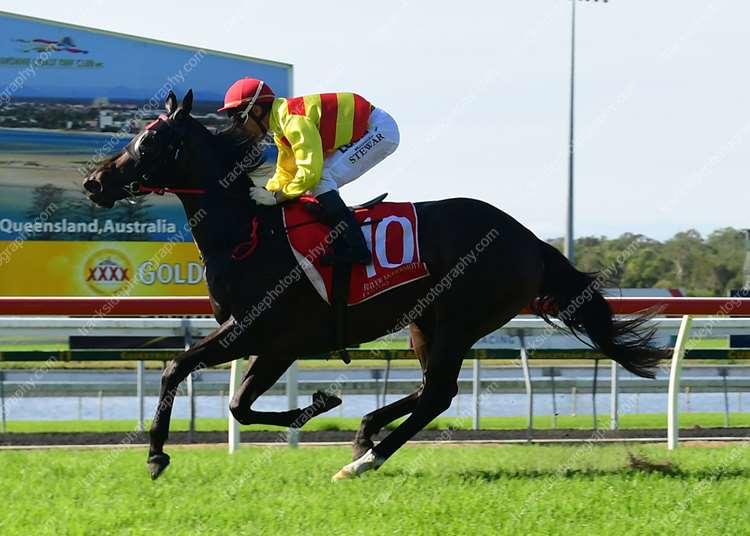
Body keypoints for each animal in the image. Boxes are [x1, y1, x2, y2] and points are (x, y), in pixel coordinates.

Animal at [82, 90, 666, 481]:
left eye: (151, 139)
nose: (94, 181)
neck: (248, 234)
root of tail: (529, 240)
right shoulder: (270, 344)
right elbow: (237, 405)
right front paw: (320, 403)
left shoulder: (259, 333)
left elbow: (179, 370)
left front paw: (156, 455)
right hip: (426, 323)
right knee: (433, 390)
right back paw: (365, 434)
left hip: (459, 319)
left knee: (438, 393)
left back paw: (367, 457)